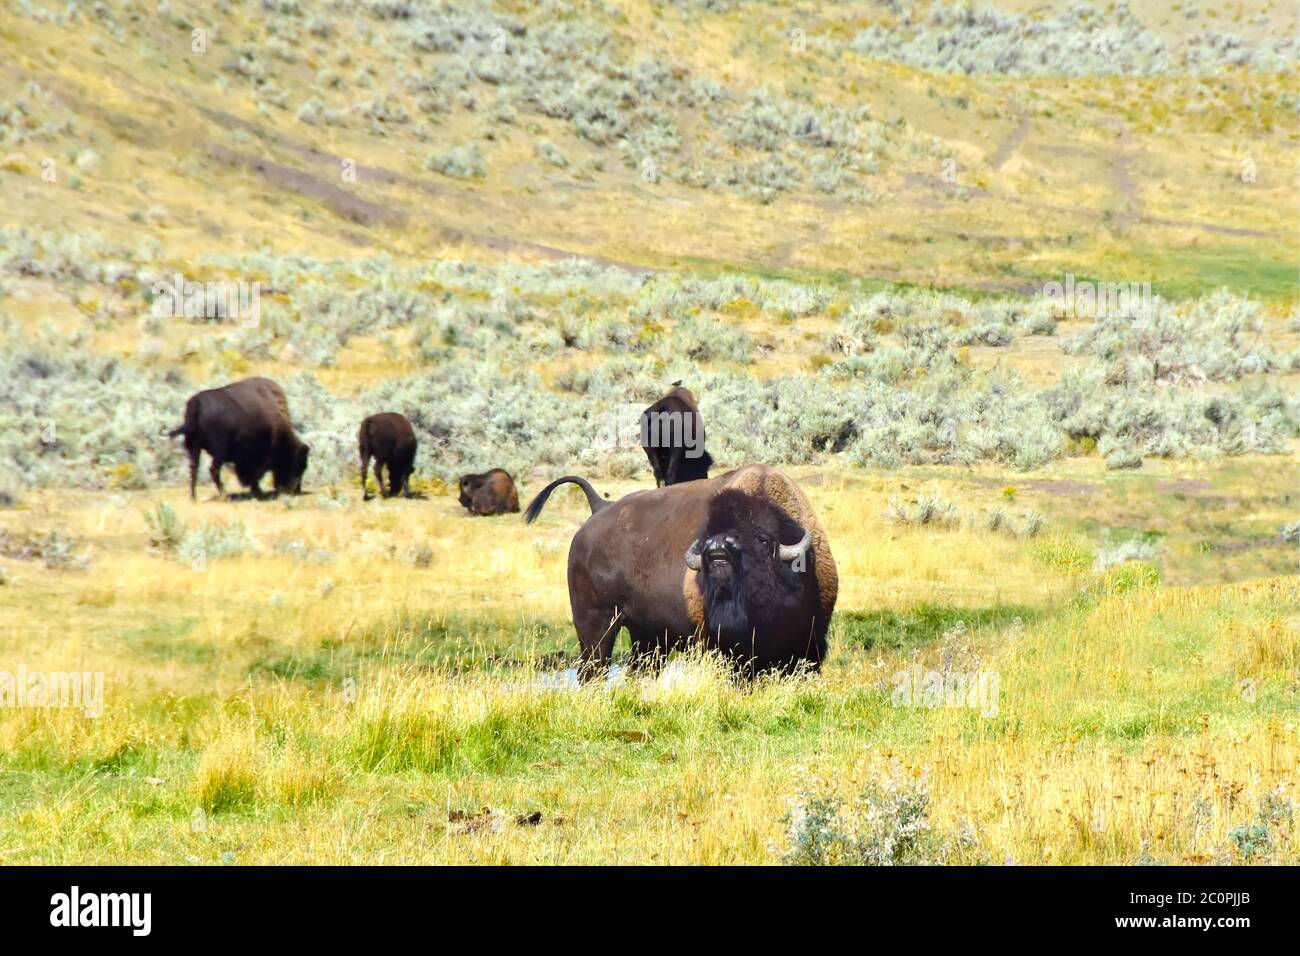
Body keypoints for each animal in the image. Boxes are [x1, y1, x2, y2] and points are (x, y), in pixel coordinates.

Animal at [169, 376, 309, 500]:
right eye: (300, 465)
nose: (295, 490)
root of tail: (197, 402)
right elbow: (256, 475)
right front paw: (258, 492)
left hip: (194, 446)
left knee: (194, 468)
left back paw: (193, 497)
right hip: (219, 451)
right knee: (213, 470)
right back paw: (224, 495)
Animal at [523, 464, 836, 678]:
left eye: (763, 539)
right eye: (708, 532)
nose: (717, 549)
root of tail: (599, 508)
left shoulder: (810, 642)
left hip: (647, 637)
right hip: (595, 626)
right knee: (594, 670)